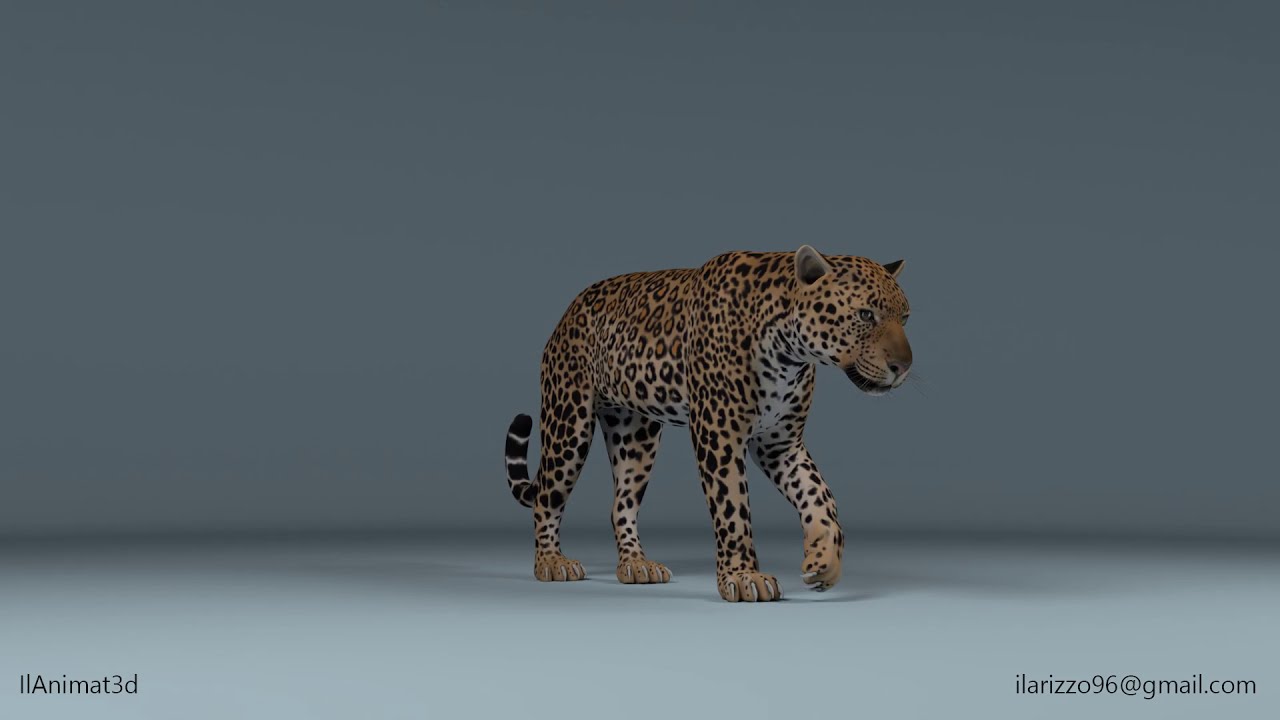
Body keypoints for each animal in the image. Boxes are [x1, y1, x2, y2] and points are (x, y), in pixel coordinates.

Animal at [503, 245, 912, 602]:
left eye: (905, 317)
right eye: (865, 315)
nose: (904, 367)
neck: (789, 354)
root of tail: (571, 308)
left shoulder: (781, 444)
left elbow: (820, 496)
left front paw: (823, 561)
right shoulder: (720, 435)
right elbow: (734, 508)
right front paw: (743, 577)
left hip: (635, 434)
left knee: (621, 505)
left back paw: (636, 565)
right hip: (568, 421)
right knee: (547, 497)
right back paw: (551, 562)